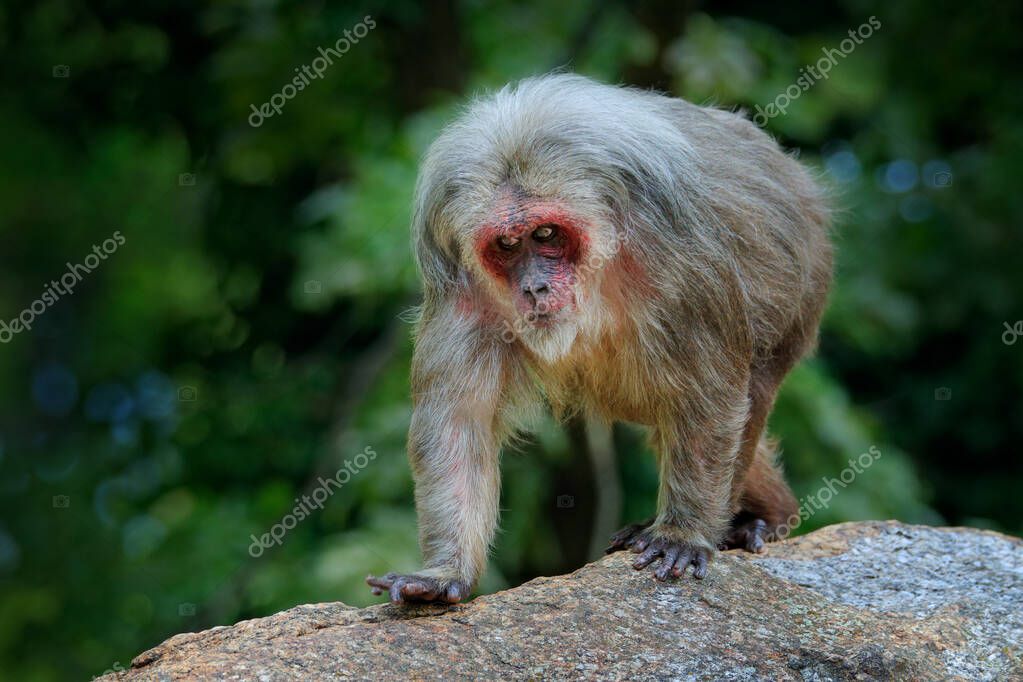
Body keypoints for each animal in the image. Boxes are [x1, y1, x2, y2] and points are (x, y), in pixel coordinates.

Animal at [367, 73, 832, 604]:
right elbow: (460, 421)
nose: (534, 287)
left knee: (746, 391)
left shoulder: (680, 258)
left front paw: (684, 533)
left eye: (547, 234)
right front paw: (444, 570)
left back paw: (758, 520)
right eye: (506, 244)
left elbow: (711, 398)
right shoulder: (457, 278)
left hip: (806, 290)